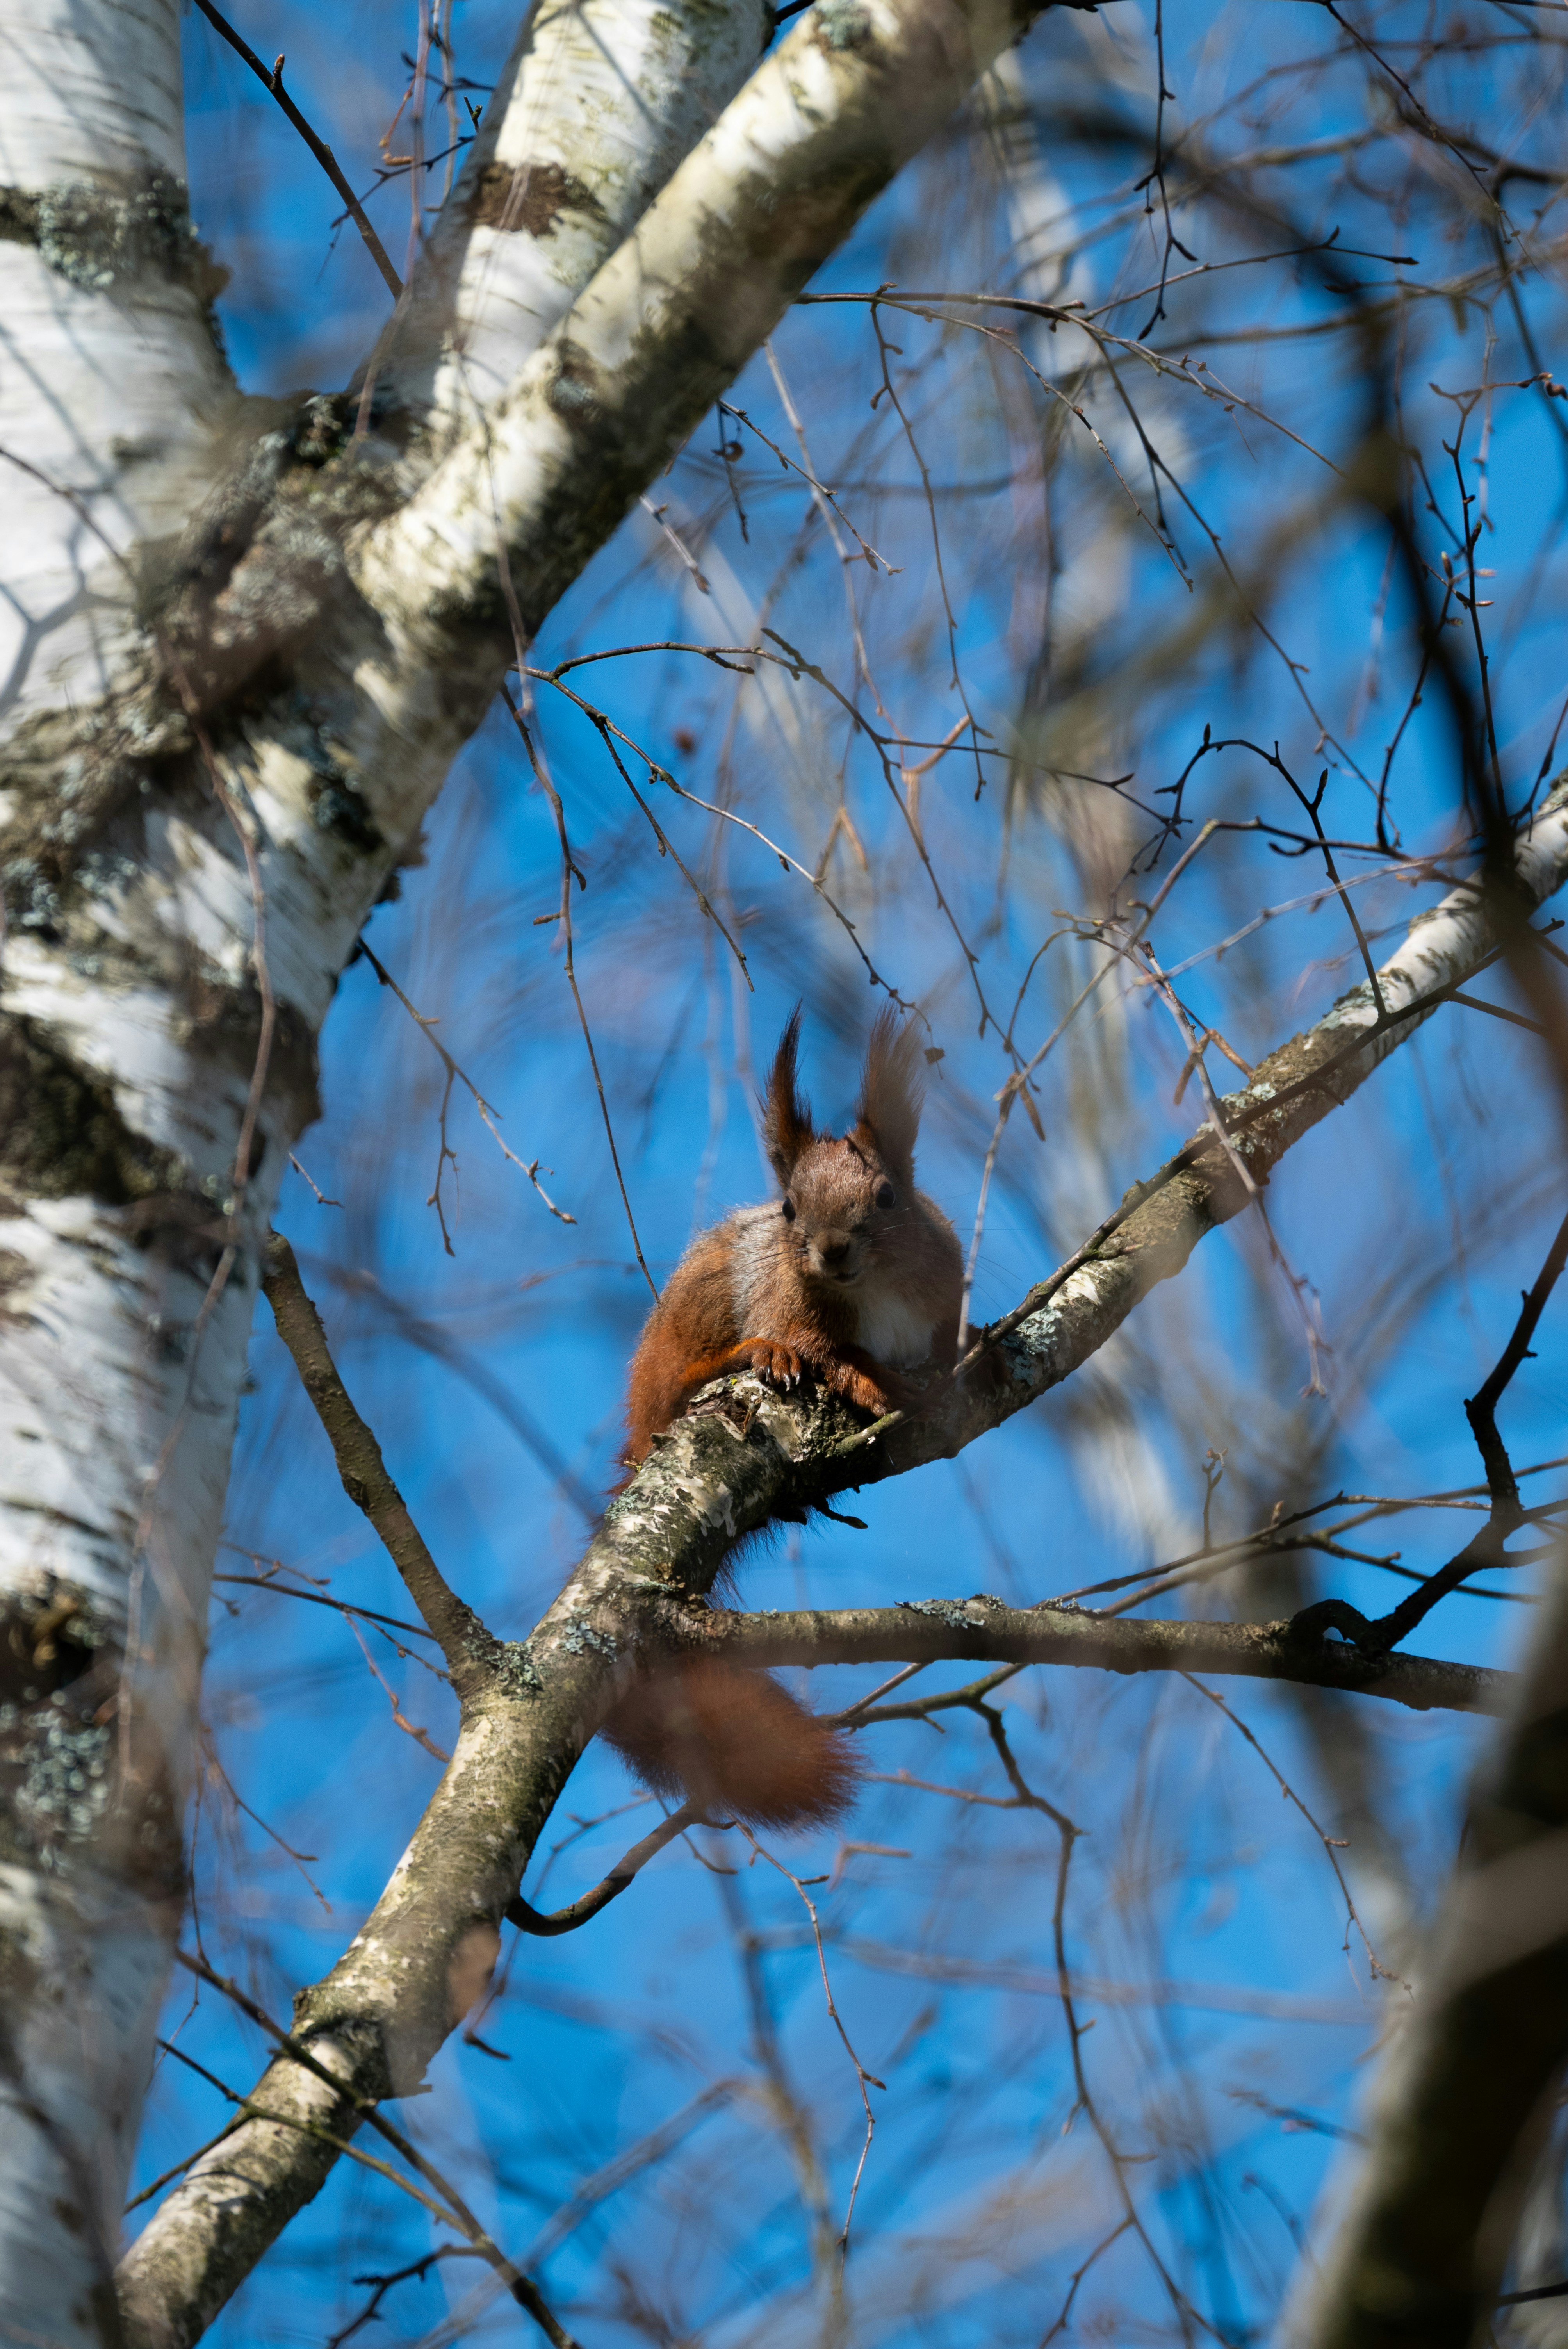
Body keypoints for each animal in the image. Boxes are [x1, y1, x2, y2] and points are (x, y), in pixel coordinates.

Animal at [602, 1007, 965, 1831]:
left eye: (889, 1196)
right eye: (792, 1207)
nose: (830, 1251)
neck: (875, 1286)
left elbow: (946, 1341)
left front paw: (949, 1369)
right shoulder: (786, 1302)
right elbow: (825, 1351)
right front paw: (865, 1381)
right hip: (698, 1312)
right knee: (682, 1383)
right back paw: (735, 1362)